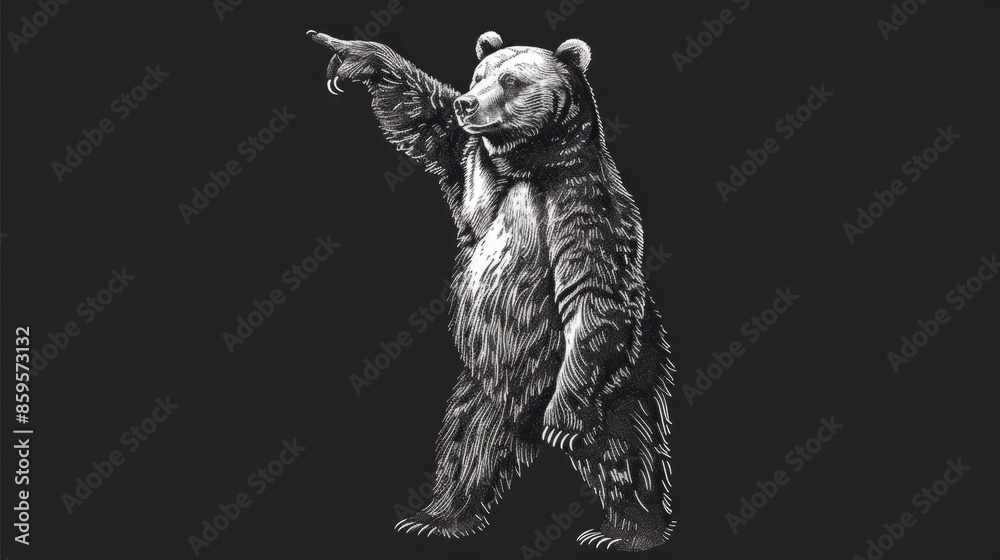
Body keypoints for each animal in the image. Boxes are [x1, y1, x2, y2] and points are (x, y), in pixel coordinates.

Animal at [308, 29, 677, 551]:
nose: (468, 103)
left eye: (511, 80)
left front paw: (564, 423)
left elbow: (591, 293)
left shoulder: (579, 205)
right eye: (477, 75)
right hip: (485, 382)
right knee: (467, 440)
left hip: (616, 372)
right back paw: (437, 517)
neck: (525, 167)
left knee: (622, 443)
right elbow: (425, 116)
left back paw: (630, 531)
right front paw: (353, 57)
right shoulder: (471, 169)